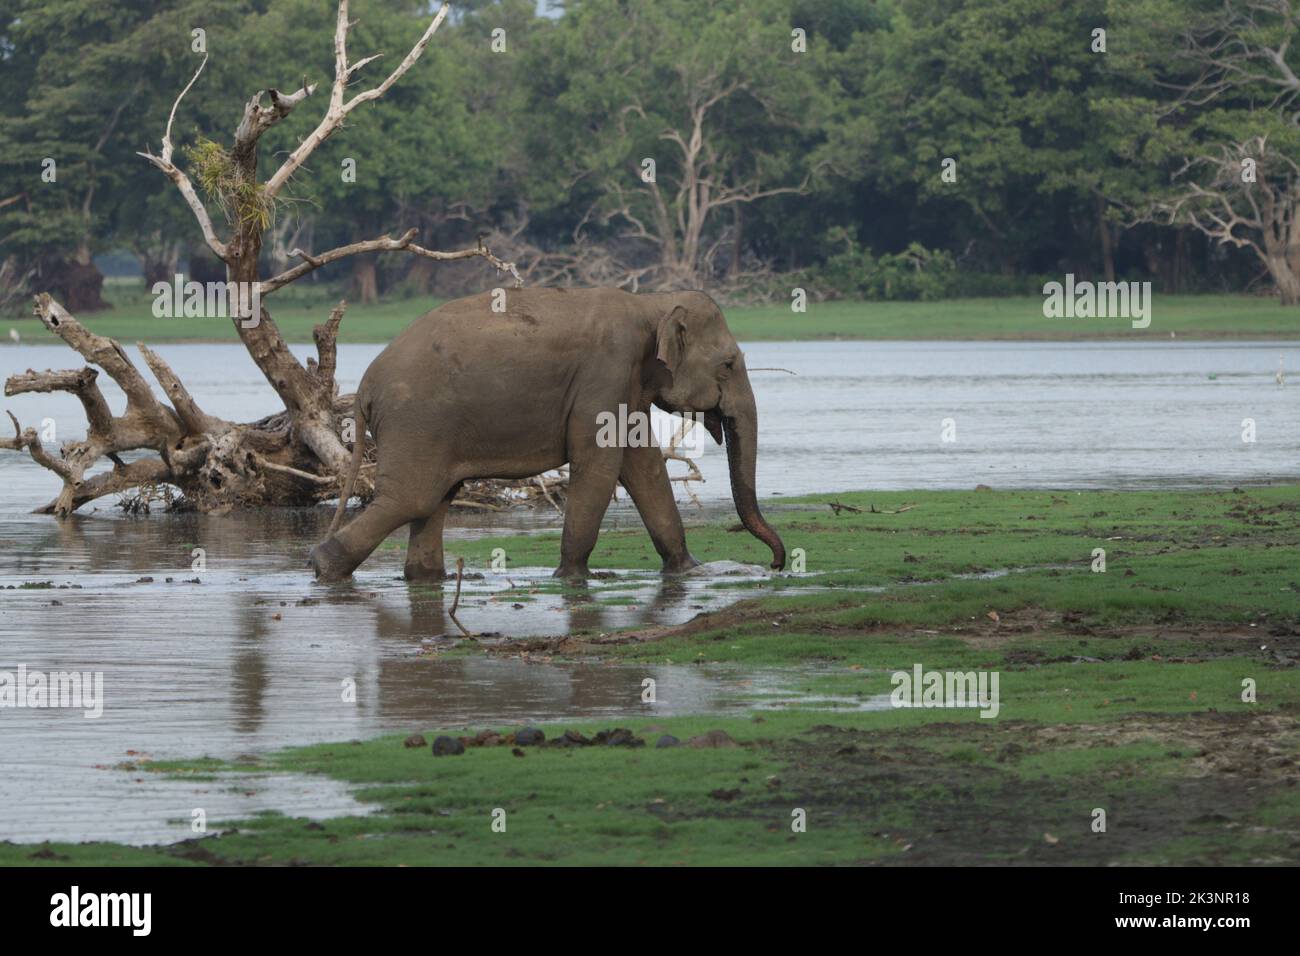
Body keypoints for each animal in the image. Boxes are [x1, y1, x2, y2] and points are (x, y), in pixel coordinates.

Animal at [309, 287, 785, 582]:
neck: (651, 302)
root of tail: (365, 387)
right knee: (413, 497)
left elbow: (643, 464)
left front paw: (689, 570)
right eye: (729, 364)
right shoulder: (606, 371)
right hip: (416, 422)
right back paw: (322, 567)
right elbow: (600, 461)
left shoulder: (627, 383)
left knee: (435, 498)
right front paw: (573, 576)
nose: (775, 565)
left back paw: (424, 577)